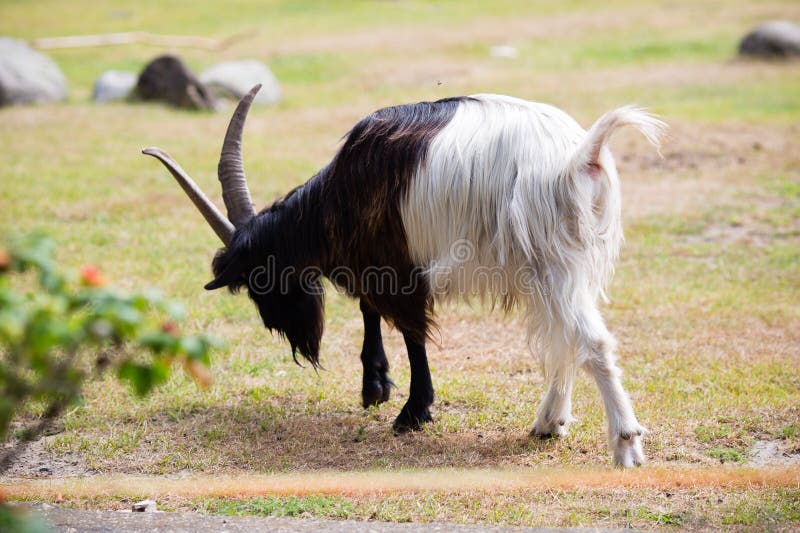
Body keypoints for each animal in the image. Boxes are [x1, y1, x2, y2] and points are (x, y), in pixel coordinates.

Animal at [143, 85, 666, 467]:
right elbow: (369, 310)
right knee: (565, 341)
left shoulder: (396, 266)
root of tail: (581, 157)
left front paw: (412, 411)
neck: (334, 196)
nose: (280, 328)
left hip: (549, 261)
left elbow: (411, 331)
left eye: (258, 279)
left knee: (591, 342)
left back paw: (625, 446)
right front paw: (375, 385)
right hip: (560, 268)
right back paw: (549, 423)